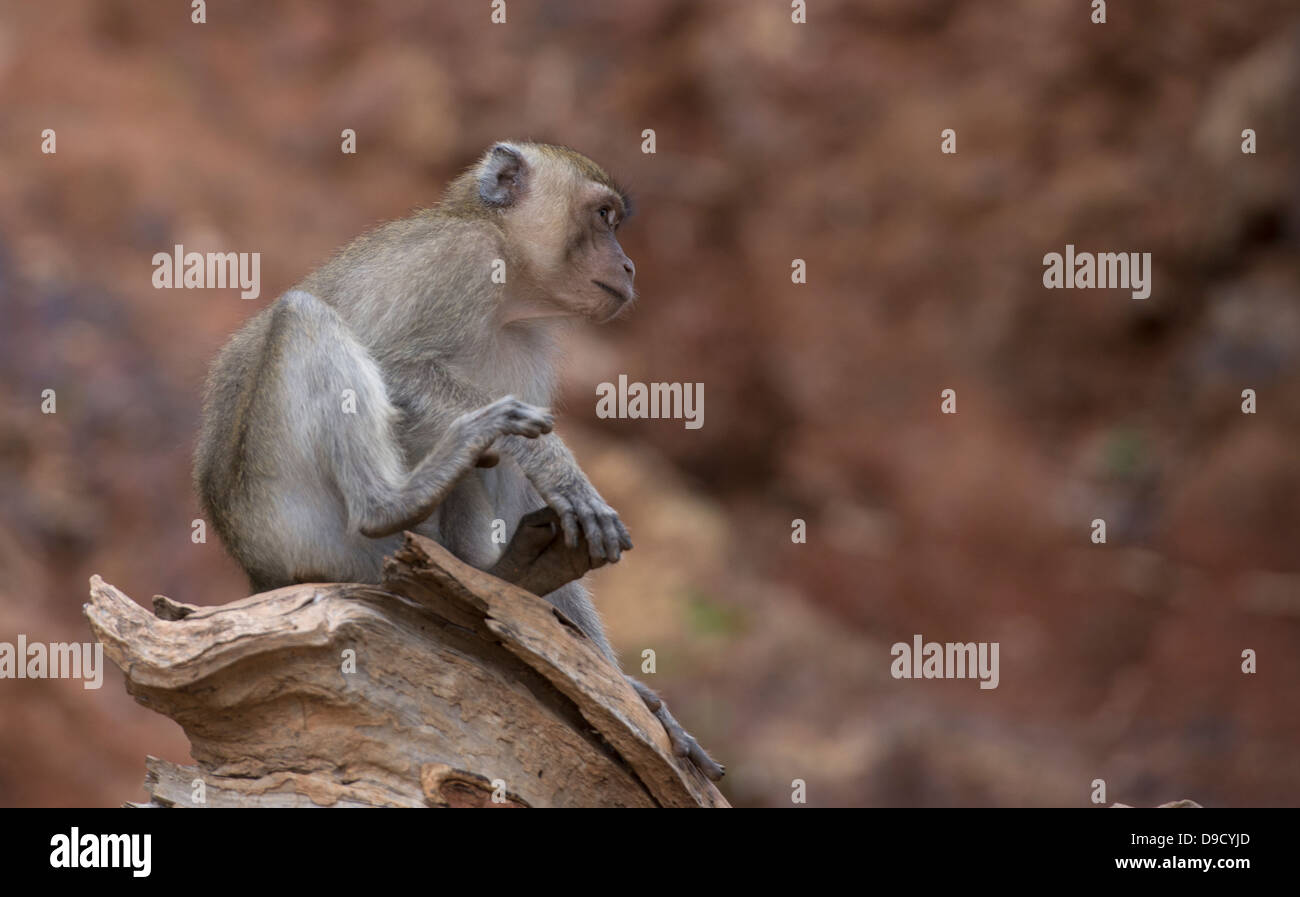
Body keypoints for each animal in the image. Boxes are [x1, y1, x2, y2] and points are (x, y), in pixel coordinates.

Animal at [193, 141, 723, 781]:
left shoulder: (529, 345)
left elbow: (524, 477)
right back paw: (398, 502)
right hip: (297, 522)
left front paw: (629, 690)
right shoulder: (462, 263)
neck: (508, 286)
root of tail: (256, 573)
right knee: (303, 318)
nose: (629, 267)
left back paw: (507, 574)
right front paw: (559, 465)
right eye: (604, 217)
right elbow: (397, 366)